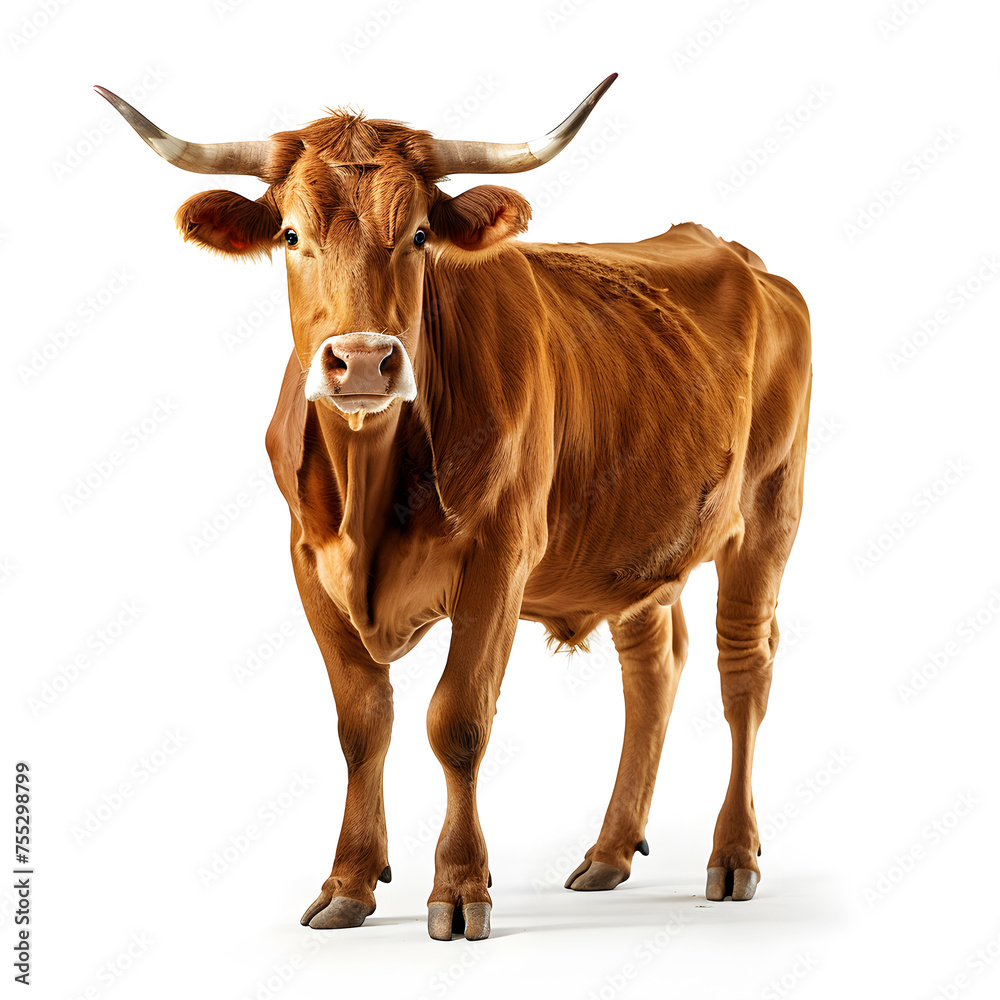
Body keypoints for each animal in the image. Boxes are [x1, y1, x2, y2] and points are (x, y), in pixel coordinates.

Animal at [97, 74, 811, 941]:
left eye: (420, 235)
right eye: (292, 234)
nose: (362, 361)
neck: (368, 496)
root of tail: (746, 261)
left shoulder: (499, 558)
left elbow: (458, 722)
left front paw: (461, 887)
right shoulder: (306, 561)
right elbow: (361, 723)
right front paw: (351, 881)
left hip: (769, 515)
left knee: (743, 673)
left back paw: (733, 854)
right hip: (640, 544)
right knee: (653, 669)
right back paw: (609, 851)